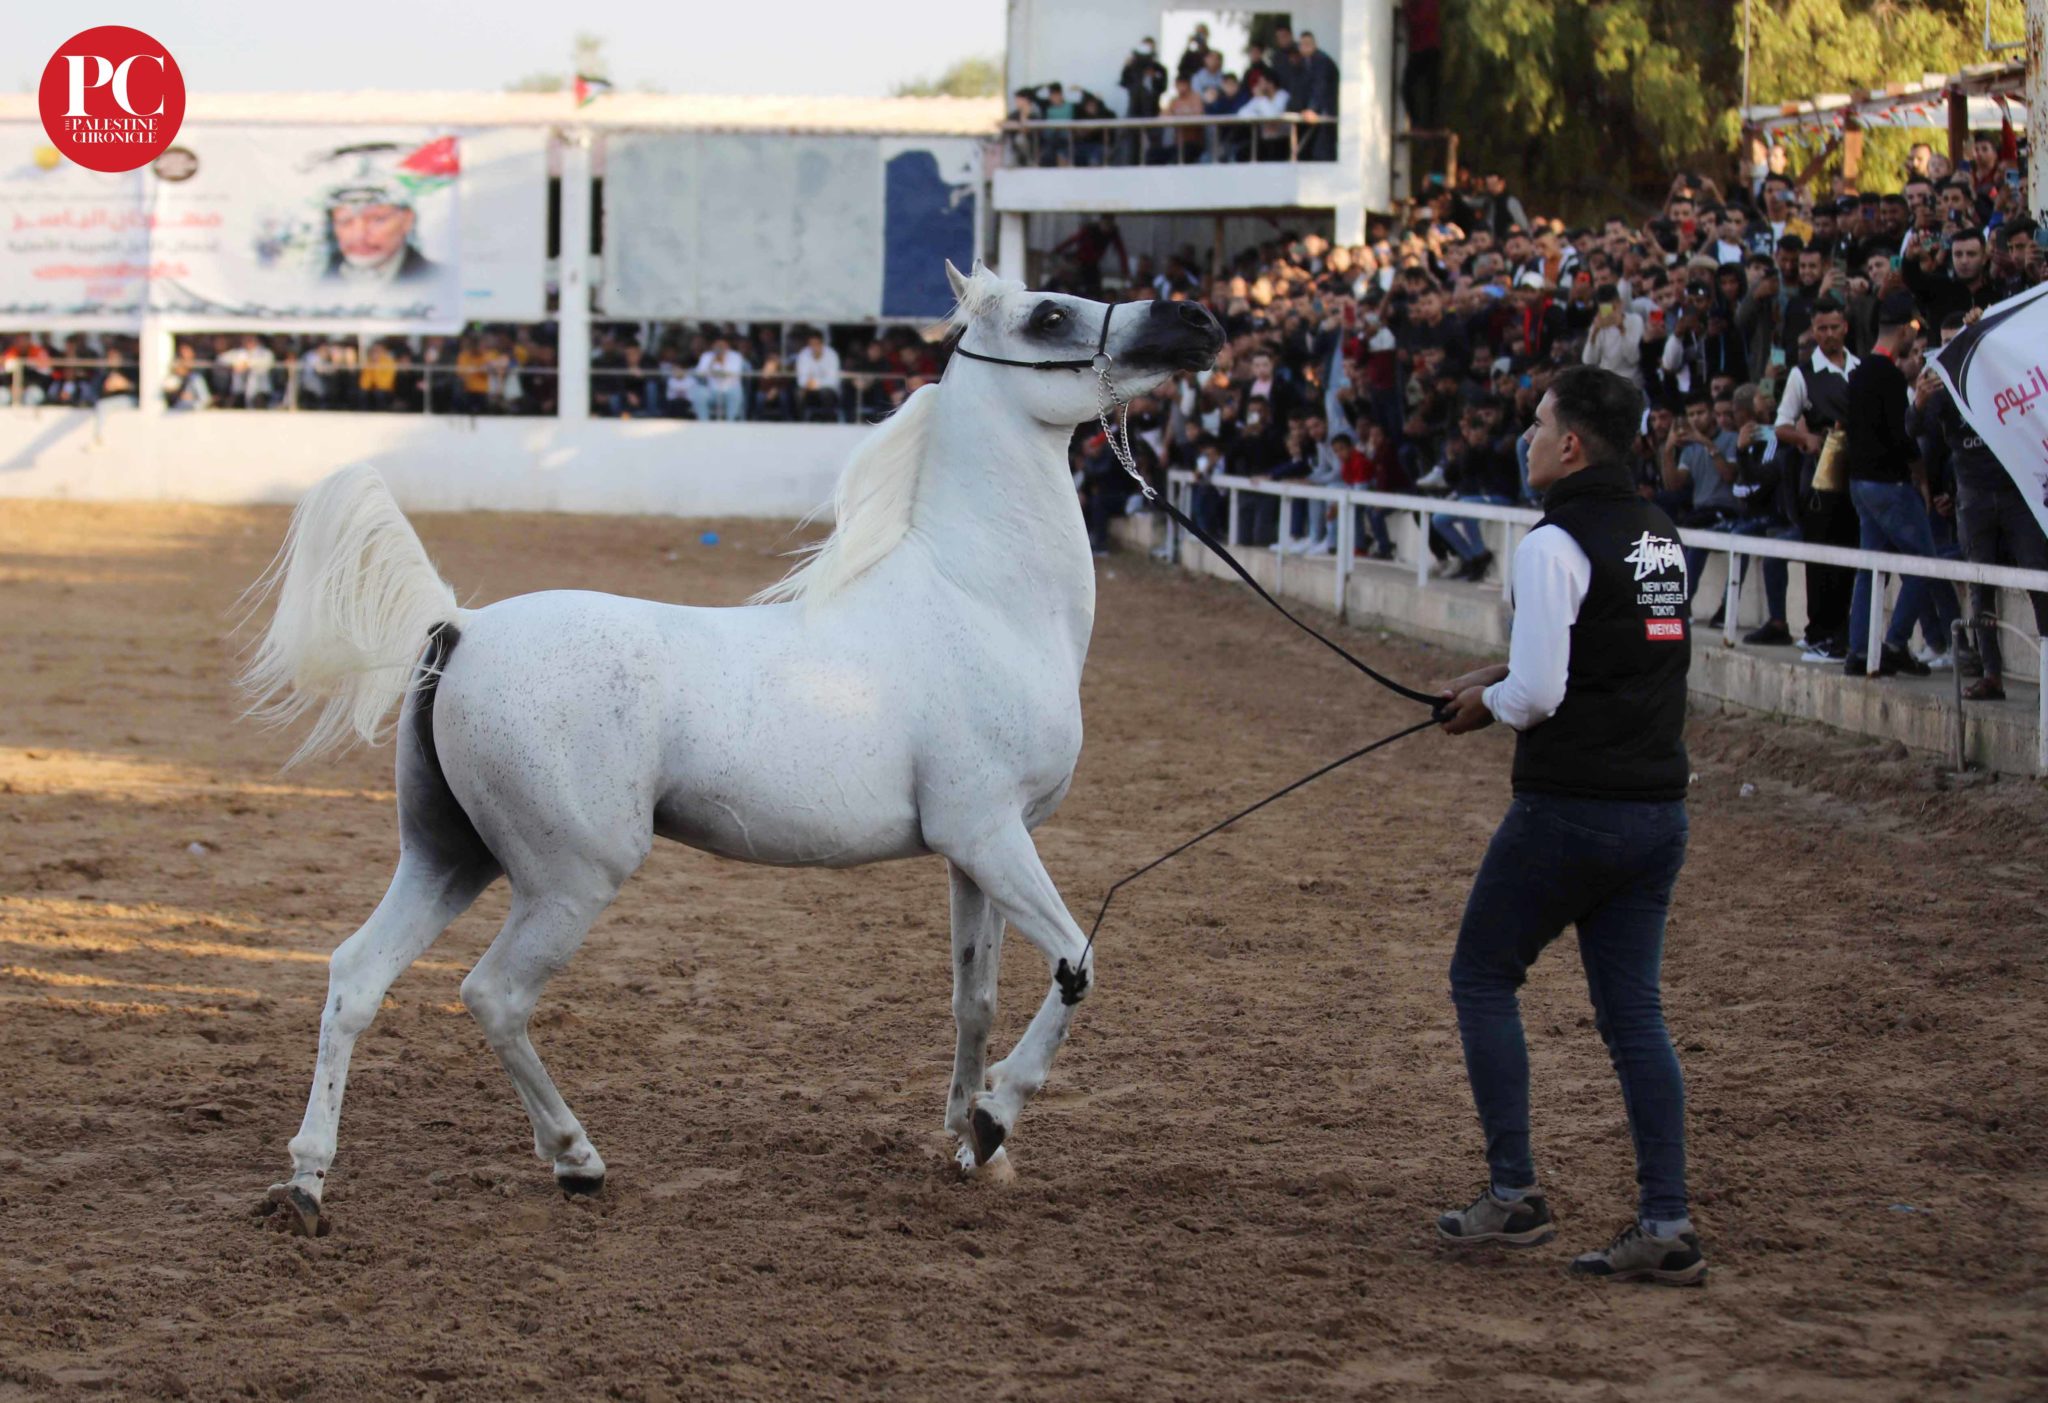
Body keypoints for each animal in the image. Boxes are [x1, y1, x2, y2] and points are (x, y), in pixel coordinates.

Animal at [242, 261, 1224, 1235]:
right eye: (1050, 315)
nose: (1198, 320)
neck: (980, 600)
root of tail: (464, 626)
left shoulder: (973, 850)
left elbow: (972, 997)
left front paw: (967, 1140)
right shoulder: (989, 833)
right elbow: (1076, 965)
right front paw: (993, 1117)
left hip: (449, 855)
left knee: (356, 976)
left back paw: (307, 1183)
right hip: (569, 878)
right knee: (493, 994)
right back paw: (575, 1159)